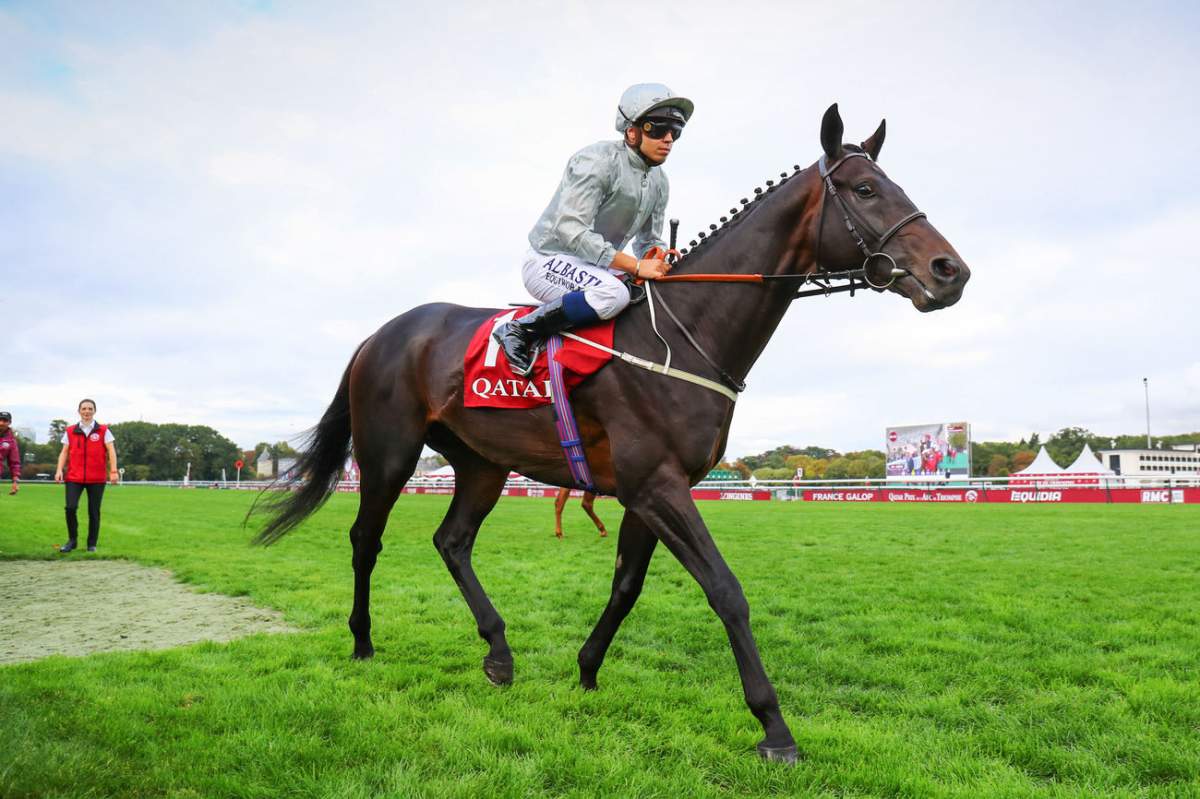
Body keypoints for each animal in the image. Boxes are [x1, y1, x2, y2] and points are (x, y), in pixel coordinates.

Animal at [254, 104, 970, 763]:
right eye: (865, 189)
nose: (950, 271)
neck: (683, 334)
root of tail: (382, 333)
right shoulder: (656, 485)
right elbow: (726, 591)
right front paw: (774, 727)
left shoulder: (650, 490)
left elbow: (627, 586)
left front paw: (587, 668)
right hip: (389, 452)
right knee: (365, 539)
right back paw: (362, 640)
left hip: (483, 462)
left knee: (451, 541)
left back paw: (499, 652)